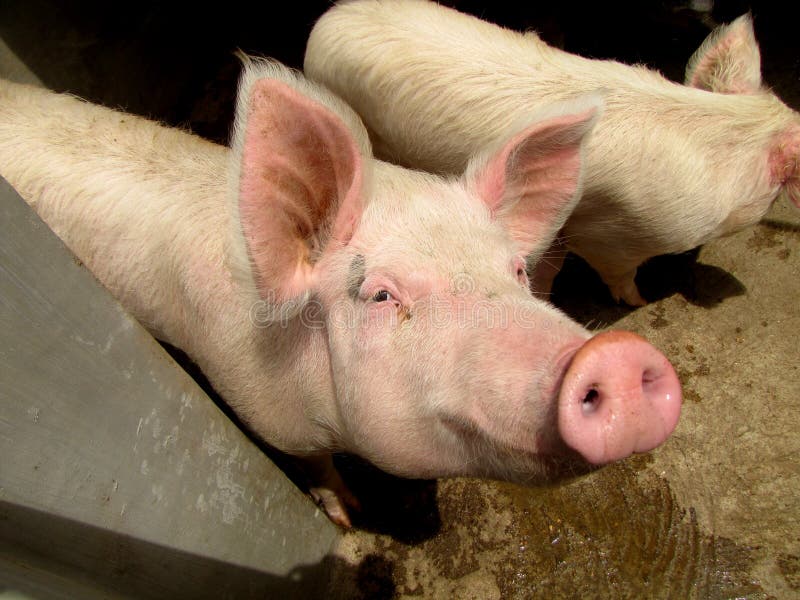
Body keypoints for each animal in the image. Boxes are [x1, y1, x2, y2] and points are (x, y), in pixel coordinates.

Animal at [0, 58, 681, 527]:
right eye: (381, 296)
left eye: (515, 271)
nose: (613, 354)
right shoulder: (265, 417)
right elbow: (313, 466)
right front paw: (349, 515)